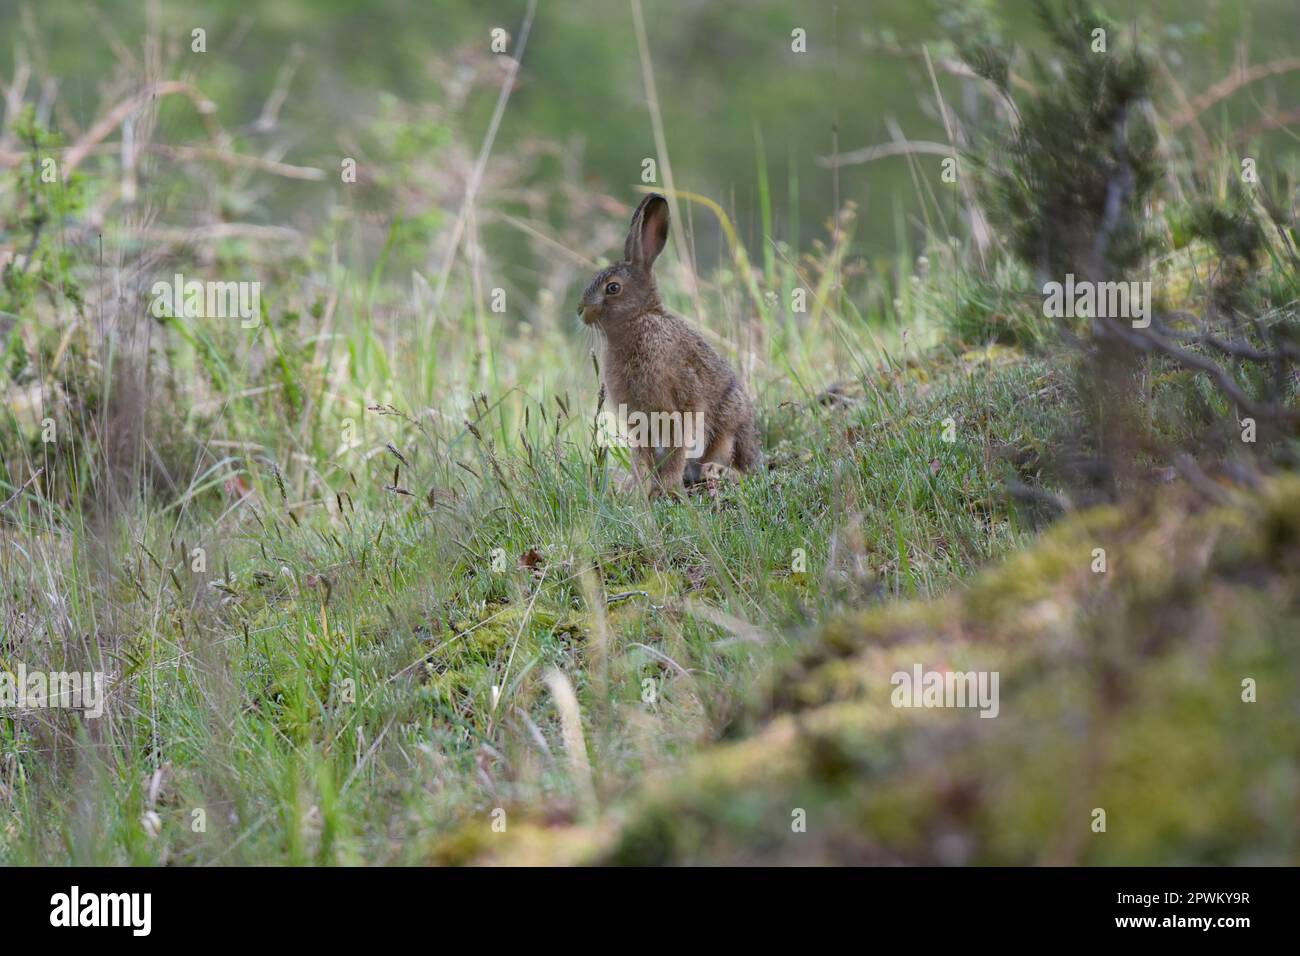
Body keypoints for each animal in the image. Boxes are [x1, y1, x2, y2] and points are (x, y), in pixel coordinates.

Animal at [578, 192, 760, 498]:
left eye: (612, 288)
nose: (581, 311)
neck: (639, 320)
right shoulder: (637, 420)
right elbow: (643, 457)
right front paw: (642, 492)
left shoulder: (680, 404)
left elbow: (677, 448)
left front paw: (668, 488)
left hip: (728, 429)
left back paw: (717, 471)